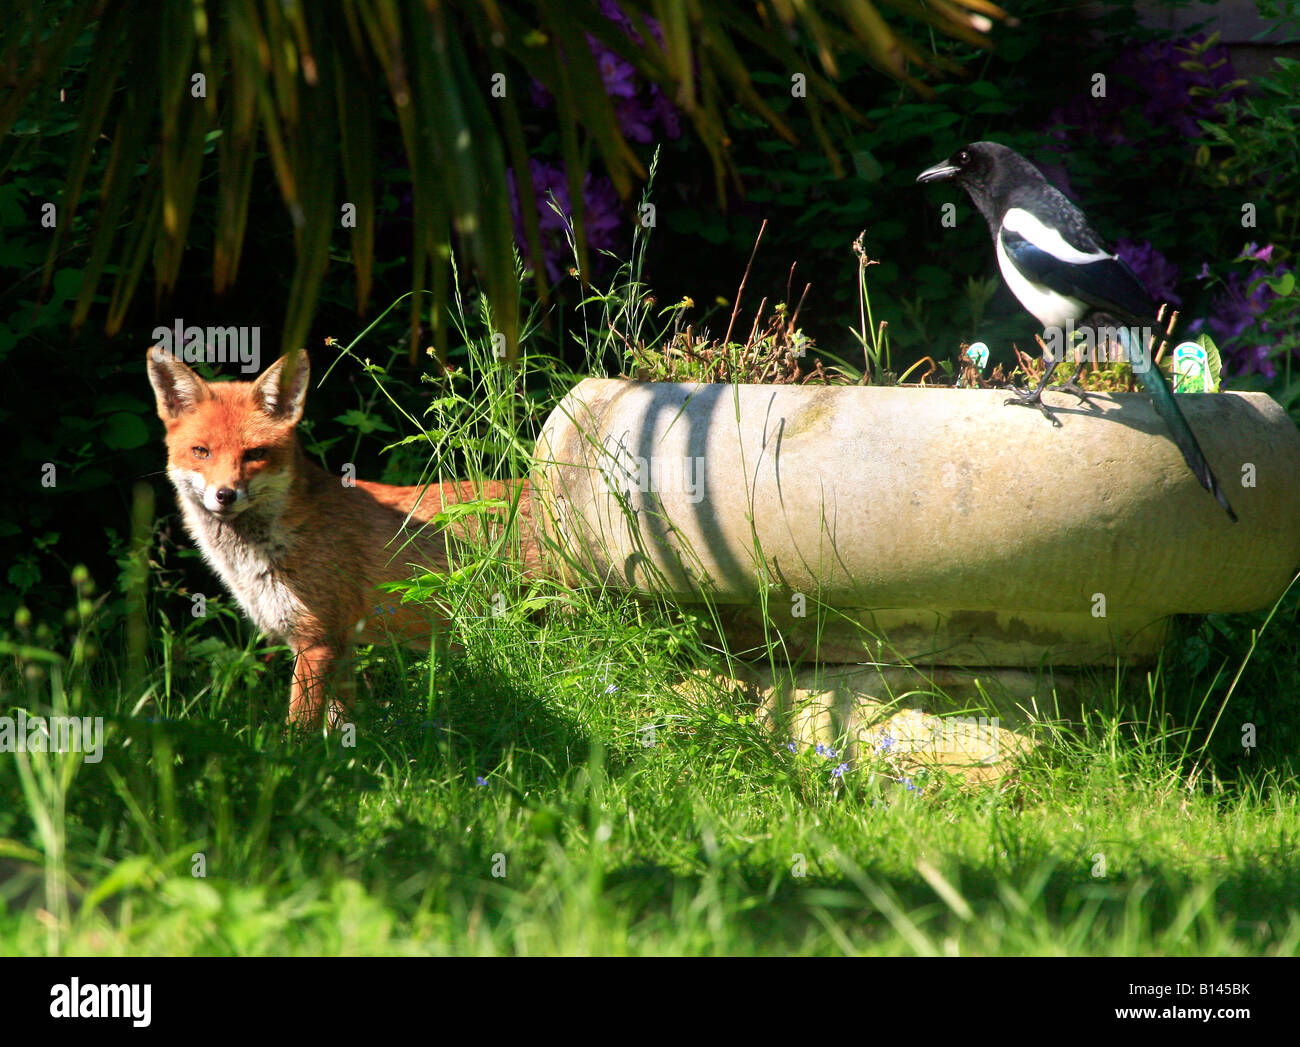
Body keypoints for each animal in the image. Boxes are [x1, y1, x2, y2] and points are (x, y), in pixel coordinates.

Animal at [147, 347, 540, 732]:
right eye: (201, 452)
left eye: (255, 454)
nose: (225, 495)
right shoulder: (343, 644)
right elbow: (342, 726)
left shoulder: (316, 640)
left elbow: (298, 730)